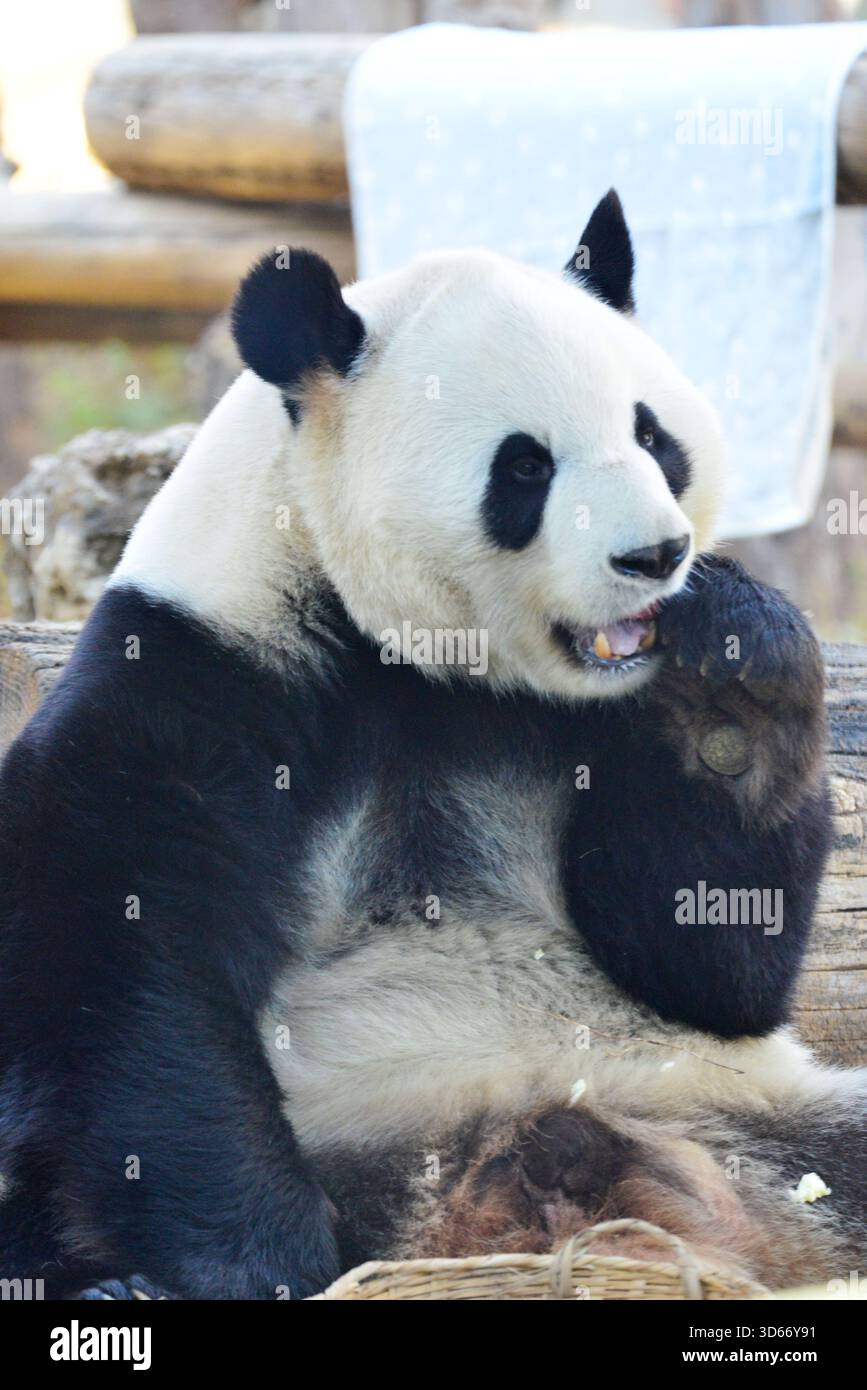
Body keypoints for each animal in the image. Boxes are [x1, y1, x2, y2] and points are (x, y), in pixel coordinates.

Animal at [0, 191, 864, 1300]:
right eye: (525, 465)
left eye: (651, 433)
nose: (655, 554)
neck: (438, 662)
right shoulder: (207, 674)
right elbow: (131, 957)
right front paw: (248, 1262)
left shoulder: (599, 722)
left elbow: (704, 965)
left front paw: (730, 684)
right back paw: (112, 1282)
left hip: (737, 1103)